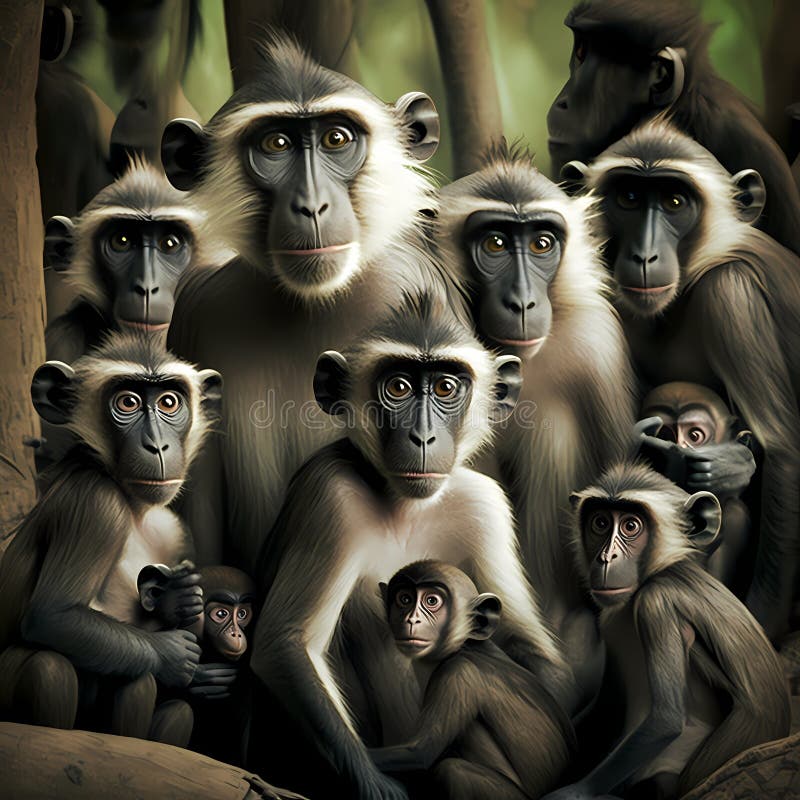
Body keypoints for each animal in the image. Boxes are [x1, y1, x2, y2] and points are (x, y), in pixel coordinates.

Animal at [0, 332, 222, 747]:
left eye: (169, 402)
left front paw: (181, 599)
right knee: (51, 666)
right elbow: (54, 616)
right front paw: (172, 654)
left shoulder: (175, 528)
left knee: (175, 708)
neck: (133, 507)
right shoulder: (94, 505)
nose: (157, 445)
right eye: (128, 403)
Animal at [367, 560, 573, 800]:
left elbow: (418, 753)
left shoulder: (458, 674)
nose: (411, 619)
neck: (464, 646)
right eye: (405, 599)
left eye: (432, 601)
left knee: (453, 771)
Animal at [542, 462, 790, 800]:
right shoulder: (609, 620)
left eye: (631, 526)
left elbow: (665, 720)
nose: (606, 557)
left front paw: (576, 792)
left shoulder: (655, 604)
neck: (659, 572)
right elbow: (606, 702)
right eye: (600, 522)